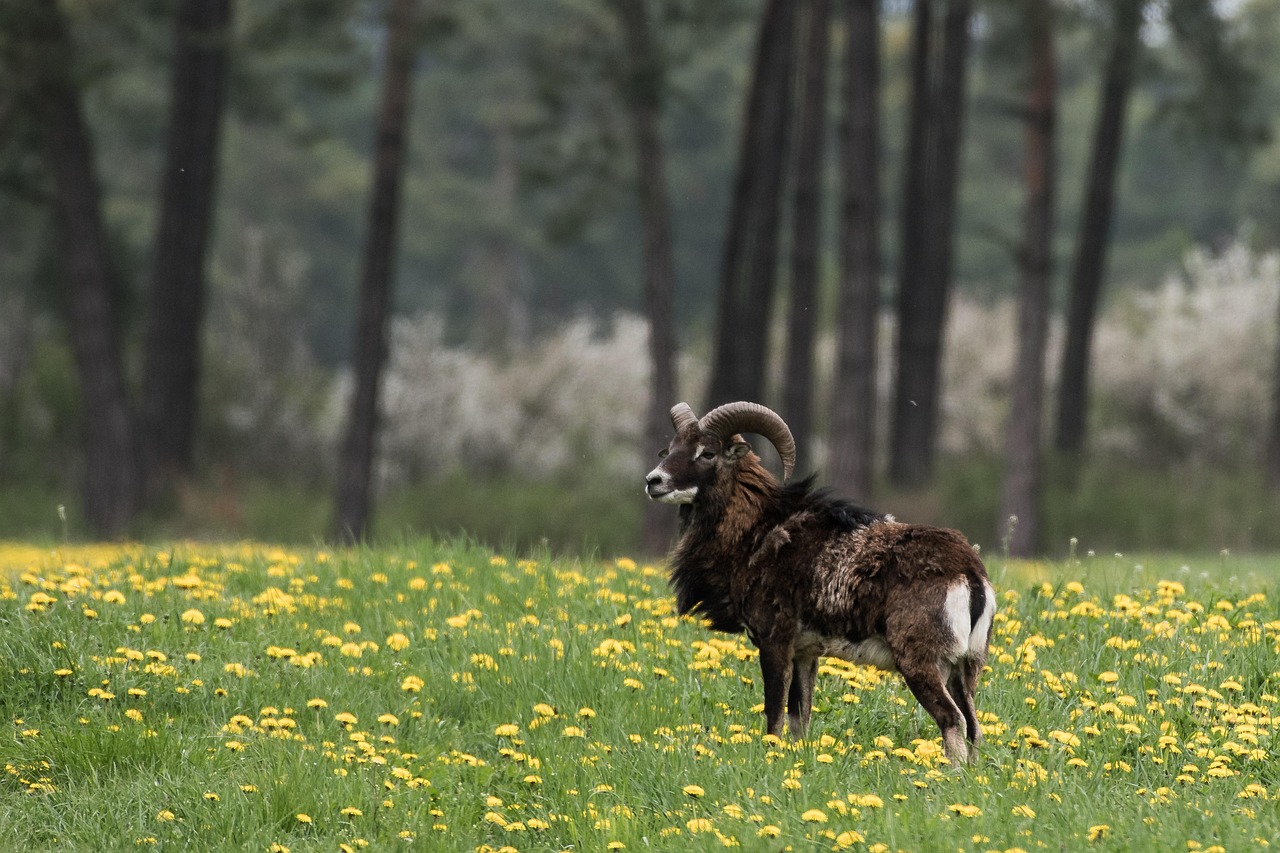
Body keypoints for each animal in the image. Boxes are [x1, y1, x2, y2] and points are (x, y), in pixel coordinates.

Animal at [644, 400, 995, 764]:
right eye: (672, 448)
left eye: (708, 453)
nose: (654, 481)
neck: (756, 533)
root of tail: (970, 576)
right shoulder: (804, 653)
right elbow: (800, 717)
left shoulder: (775, 643)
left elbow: (774, 715)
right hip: (964, 667)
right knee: (973, 726)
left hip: (922, 663)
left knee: (952, 719)